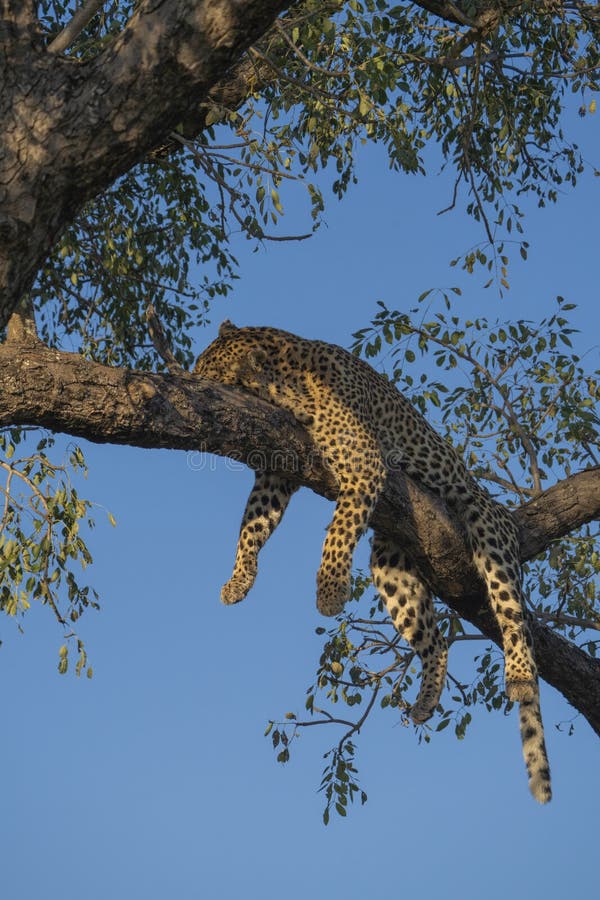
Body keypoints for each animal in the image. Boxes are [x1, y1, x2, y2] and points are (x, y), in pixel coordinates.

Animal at [194, 320, 551, 803]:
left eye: (208, 375)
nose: (187, 382)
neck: (284, 374)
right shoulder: (277, 470)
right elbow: (253, 523)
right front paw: (238, 580)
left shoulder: (363, 461)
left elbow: (338, 530)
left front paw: (329, 592)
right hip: (391, 558)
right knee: (434, 641)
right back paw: (425, 701)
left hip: (487, 527)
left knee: (512, 612)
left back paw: (519, 675)